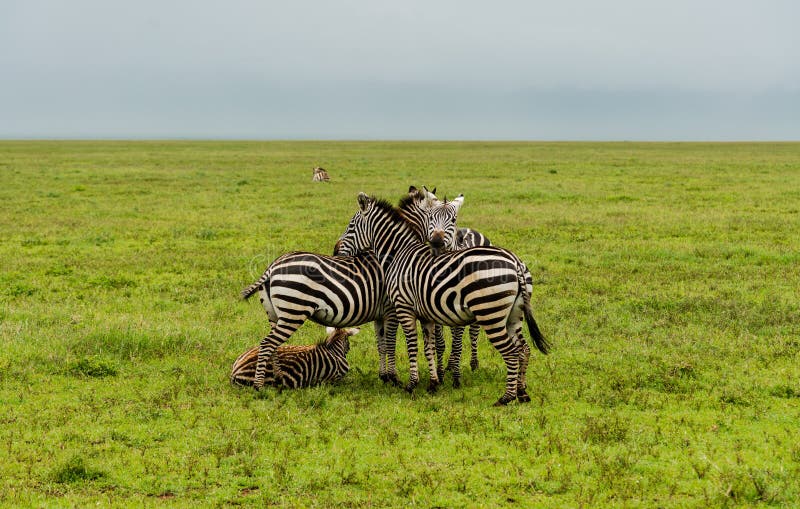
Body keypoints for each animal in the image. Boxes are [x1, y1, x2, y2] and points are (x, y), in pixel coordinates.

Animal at [336, 193, 549, 405]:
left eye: (351, 226)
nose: (336, 252)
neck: (399, 253)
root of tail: (515, 262)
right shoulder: (426, 316)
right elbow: (429, 347)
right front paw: (433, 383)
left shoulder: (404, 308)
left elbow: (412, 345)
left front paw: (412, 384)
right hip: (514, 314)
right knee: (523, 349)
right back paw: (522, 393)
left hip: (490, 314)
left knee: (511, 352)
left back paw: (506, 398)